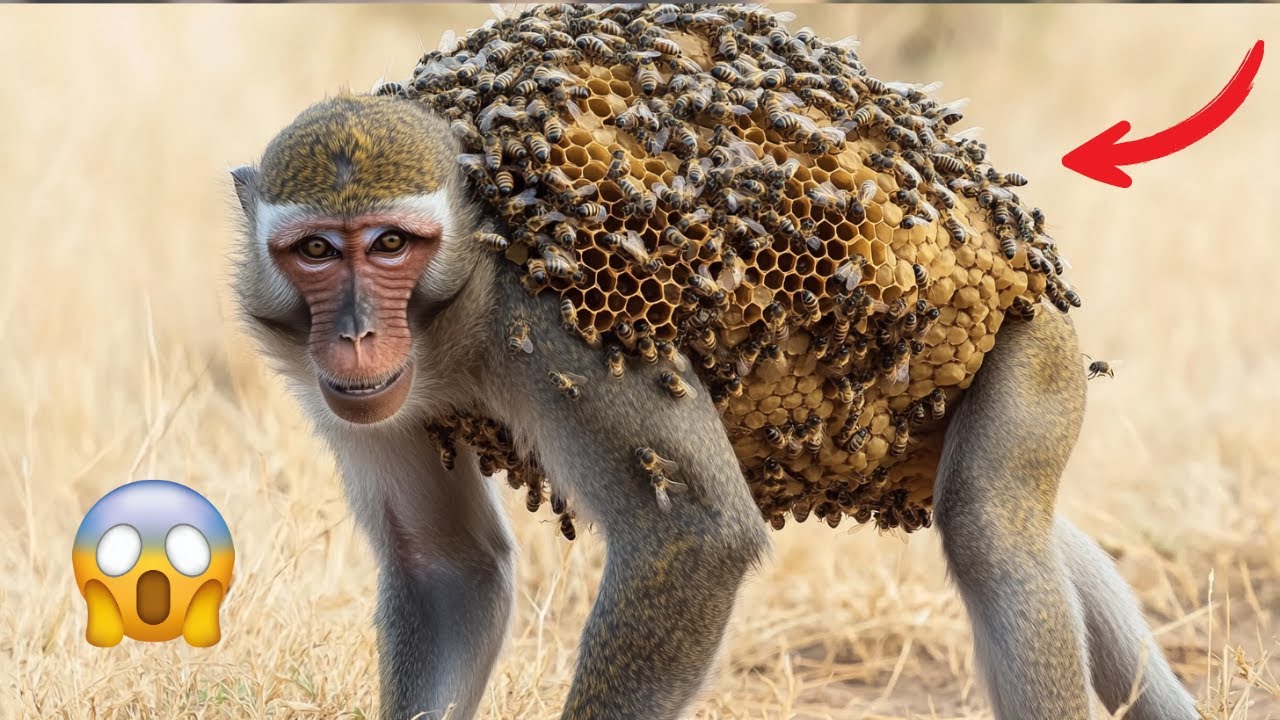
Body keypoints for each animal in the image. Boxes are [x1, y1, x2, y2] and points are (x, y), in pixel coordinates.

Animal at [230, 95, 1197, 720]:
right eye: (316, 252)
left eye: (391, 244)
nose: (356, 333)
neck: (457, 306)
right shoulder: (350, 392)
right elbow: (445, 567)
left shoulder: (558, 326)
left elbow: (695, 537)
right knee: (1020, 525)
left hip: (1031, 340)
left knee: (991, 529)